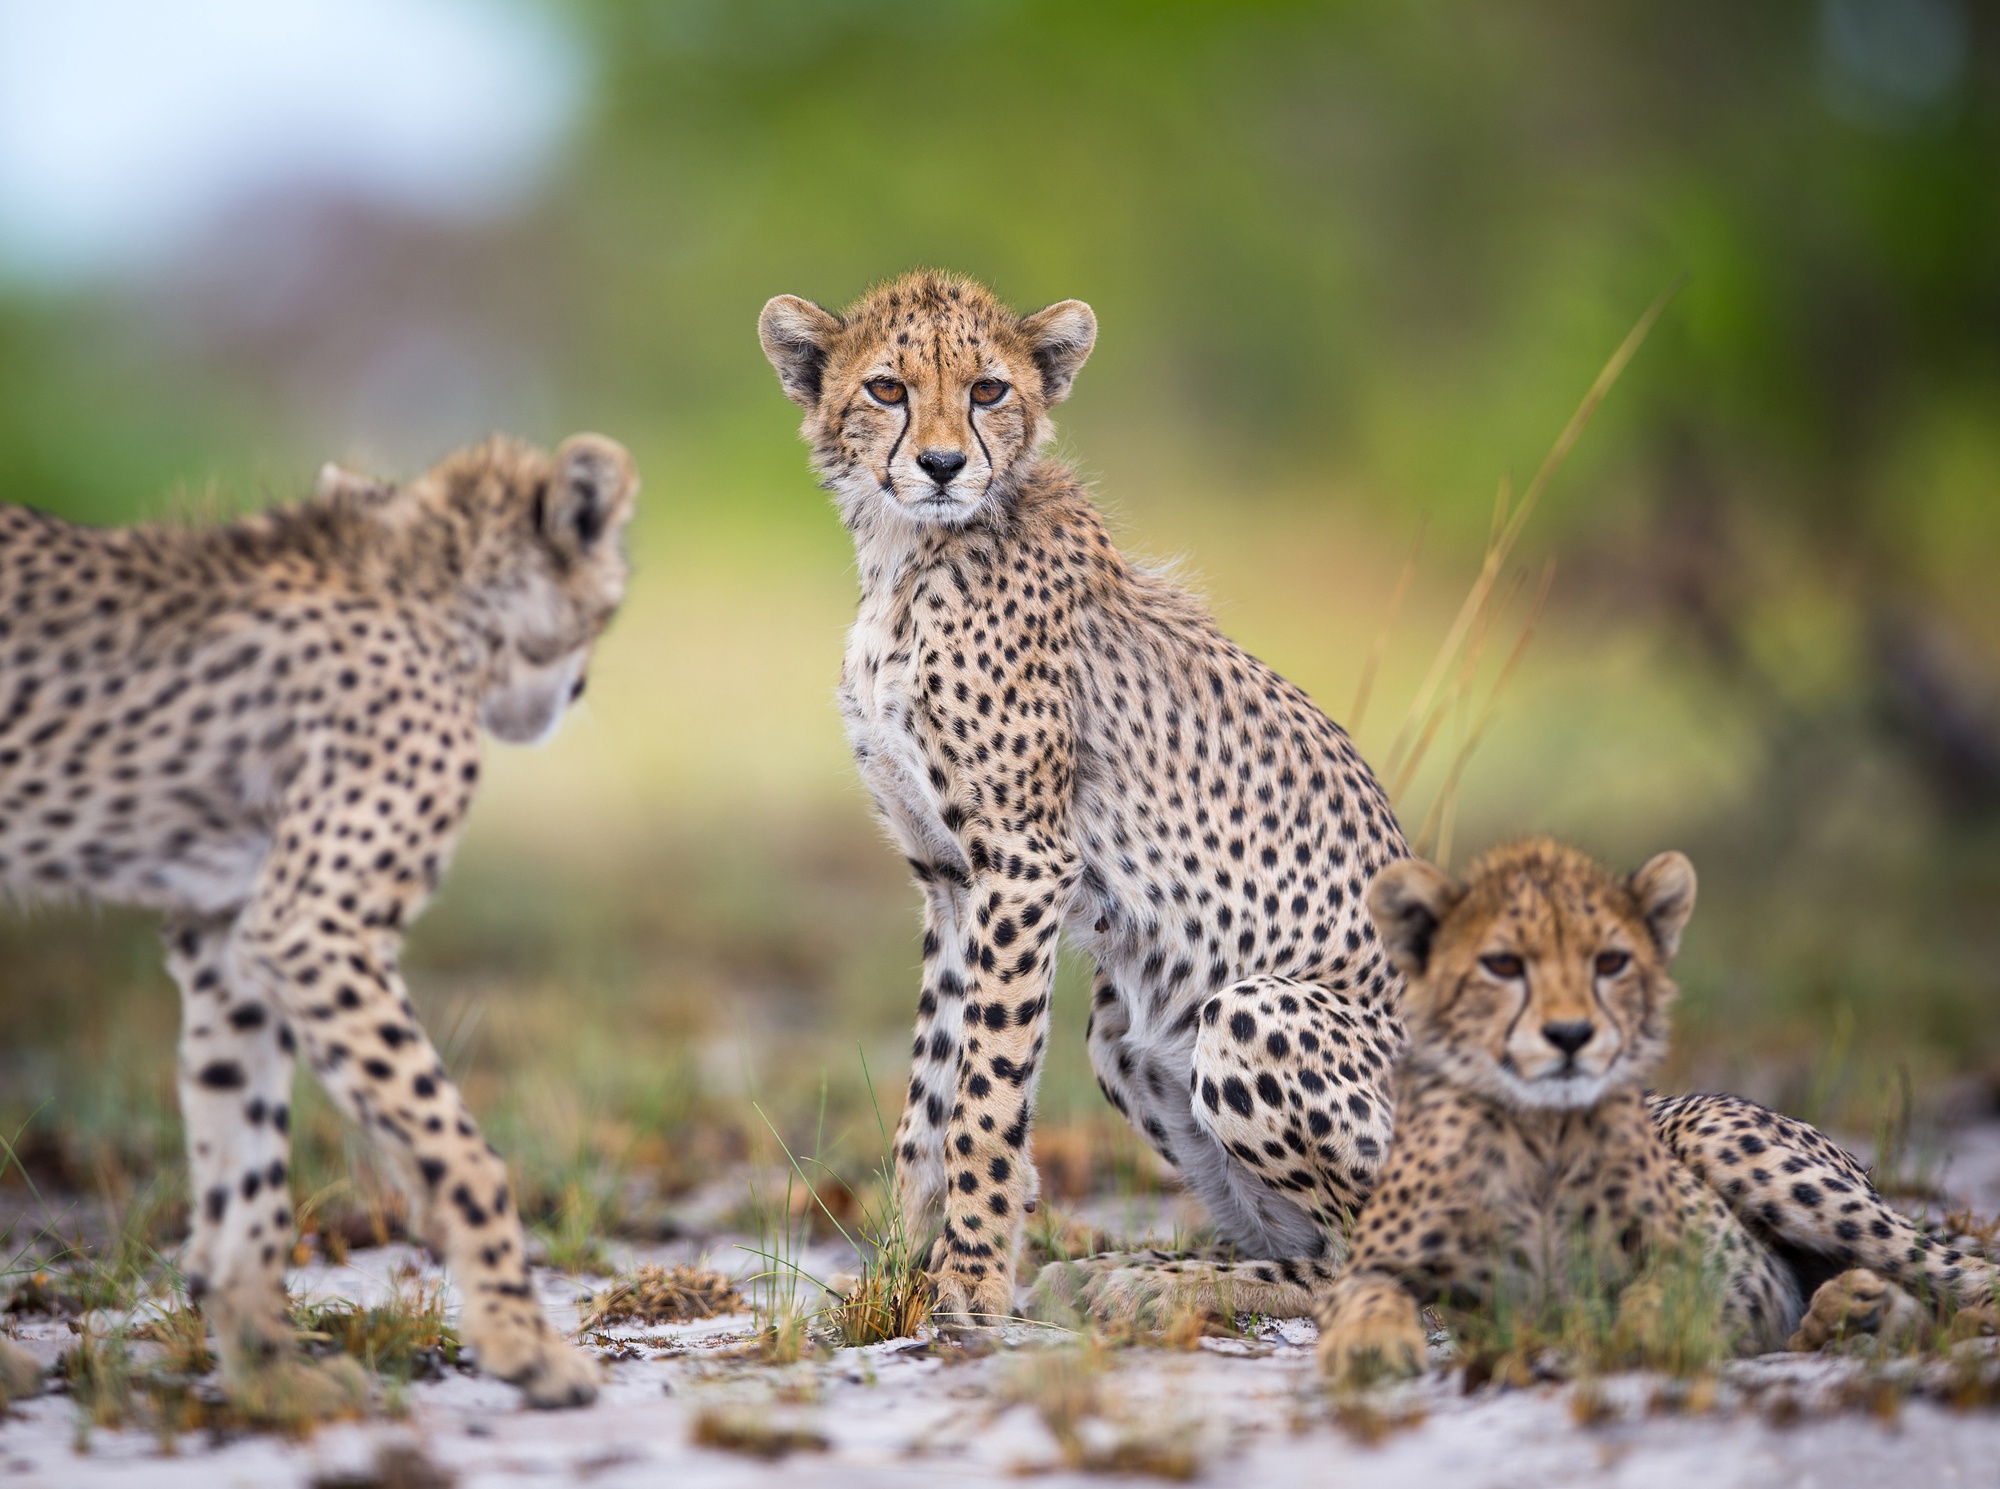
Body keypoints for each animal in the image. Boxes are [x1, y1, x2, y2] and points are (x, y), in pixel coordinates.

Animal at [0, 432, 638, 1411]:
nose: (580, 688)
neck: (438, 595)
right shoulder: (310, 924)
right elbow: (460, 1147)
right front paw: (522, 1342)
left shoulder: (230, 934)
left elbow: (245, 1152)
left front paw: (269, 1370)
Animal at [759, 269, 1409, 1327]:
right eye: (888, 389)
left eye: (988, 390)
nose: (943, 465)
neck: (910, 555)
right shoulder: (950, 876)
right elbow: (928, 1095)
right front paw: (896, 1270)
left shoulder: (1025, 863)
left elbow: (985, 1096)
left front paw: (971, 1283)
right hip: (1123, 1035)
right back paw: (1135, 1272)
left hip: (1249, 1009)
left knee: (1372, 1260)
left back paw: (1144, 1284)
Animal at [1317, 837, 1998, 1384]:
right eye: (1503, 963)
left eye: (1610, 961)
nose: (1571, 1035)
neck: (1538, 1137)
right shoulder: (1383, 1268)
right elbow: (1365, 1299)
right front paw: (1368, 1347)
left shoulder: (1702, 1256)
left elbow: (1662, 1294)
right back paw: (1852, 1311)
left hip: (1731, 1145)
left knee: (1961, 1268)